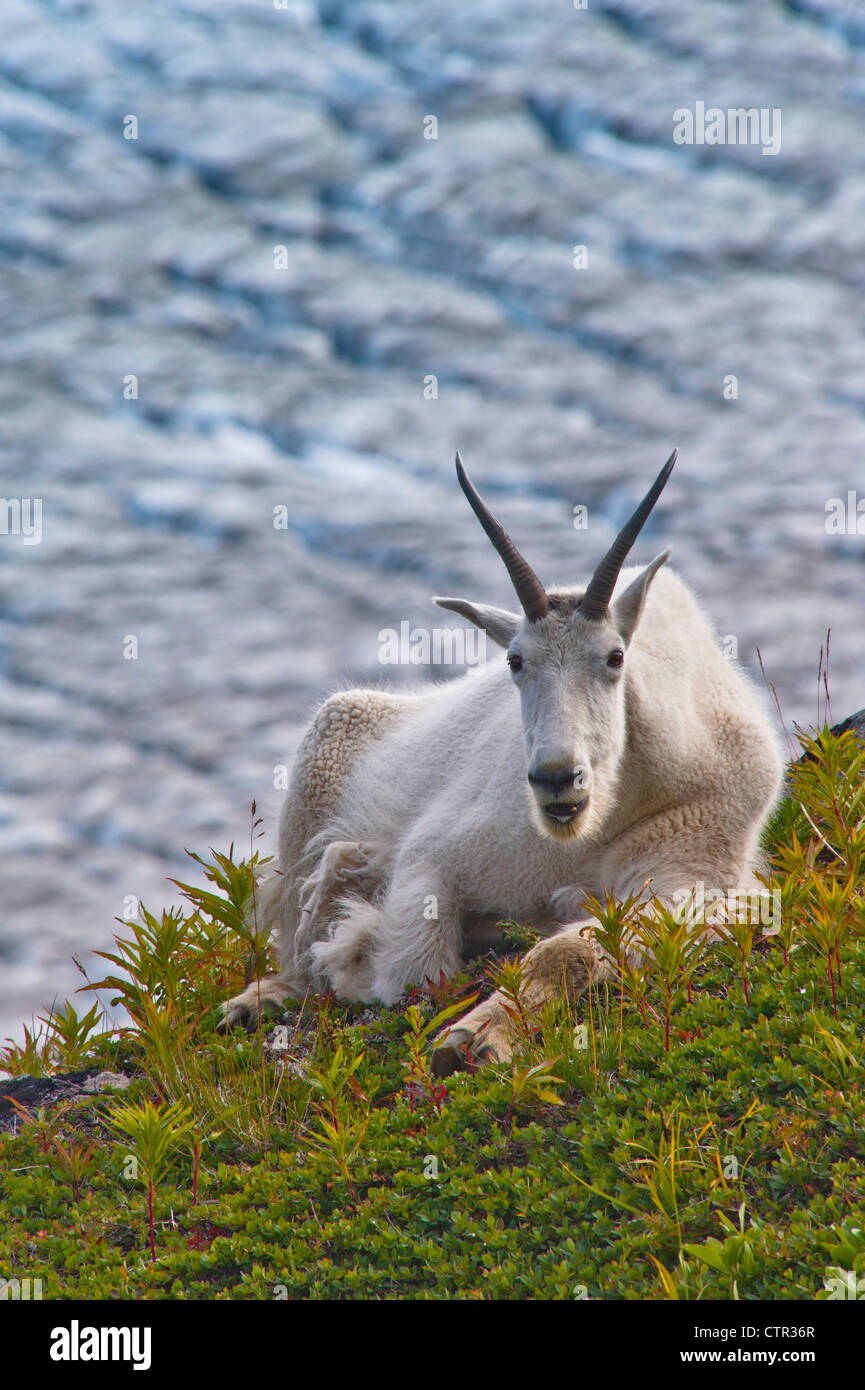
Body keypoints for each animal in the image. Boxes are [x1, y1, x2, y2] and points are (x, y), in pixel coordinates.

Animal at [221, 451, 784, 1072]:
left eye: (615, 656)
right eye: (515, 661)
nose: (557, 780)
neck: (605, 811)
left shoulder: (688, 874)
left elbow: (567, 948)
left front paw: (478, 1036)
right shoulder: (436, 857)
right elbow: (416, 969)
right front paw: (365, 953)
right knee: (296, 945)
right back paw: (258, 1000)